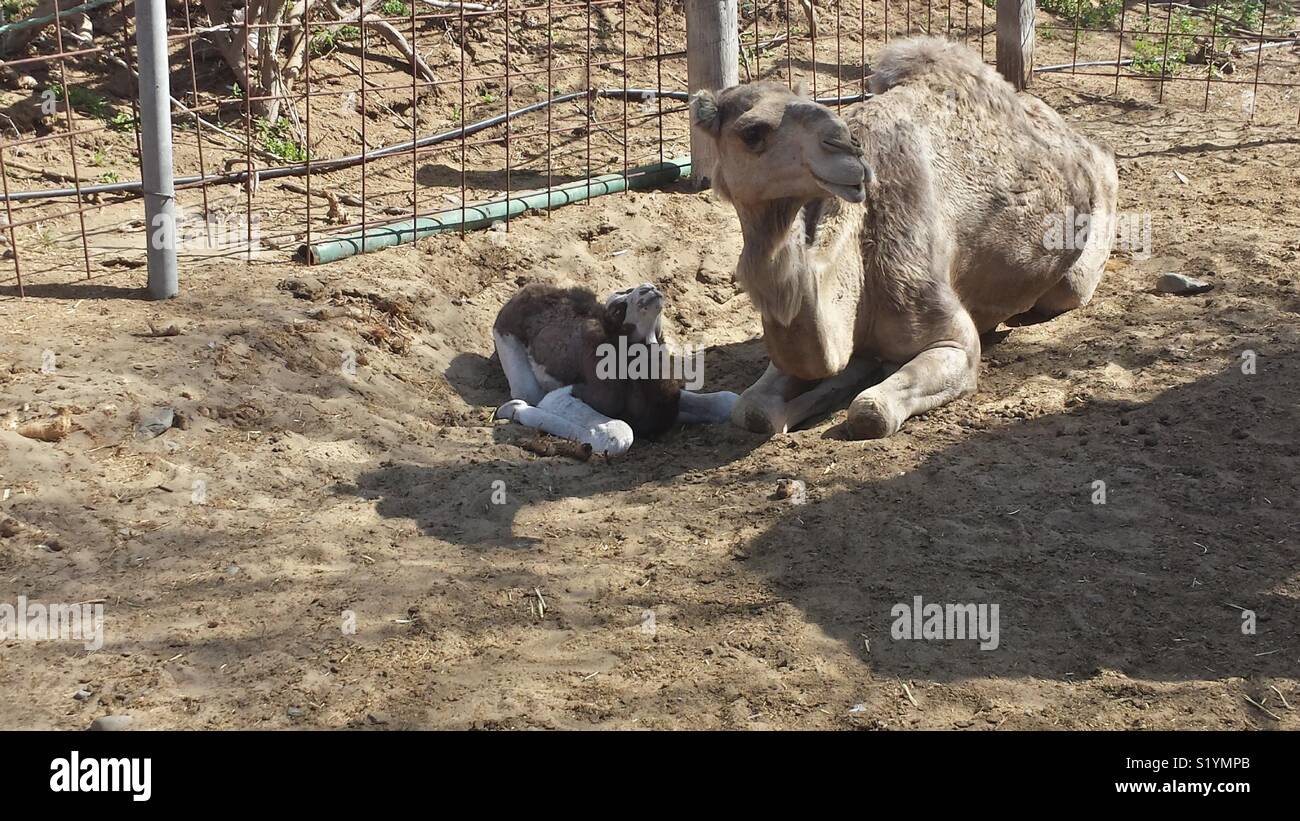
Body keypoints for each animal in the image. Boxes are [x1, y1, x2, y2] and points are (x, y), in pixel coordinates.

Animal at [493, 282, 738, 455]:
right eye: (618, 310)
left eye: (628, 291)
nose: (648, 289)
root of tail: (524, 294)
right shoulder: (561, 396)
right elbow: (618, 434)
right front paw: (513, 409)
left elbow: (727, 401)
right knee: (528, 393)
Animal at [689, 36, 1119, 439]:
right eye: (752, 132)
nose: (845, 147)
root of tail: (1082, 141)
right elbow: (752, 409)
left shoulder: (957, 342)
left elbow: (870, 412)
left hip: (1087, 240)